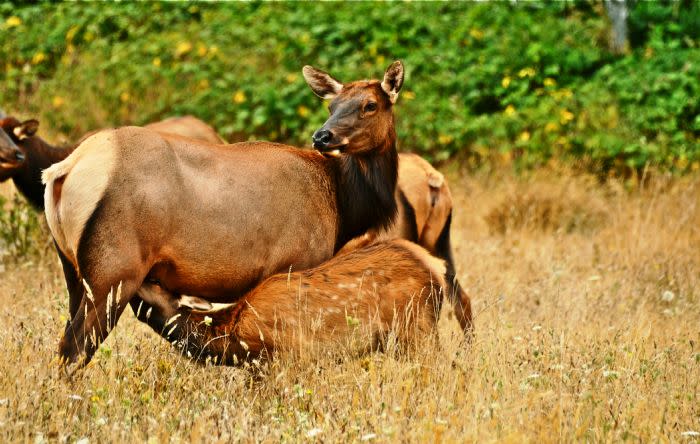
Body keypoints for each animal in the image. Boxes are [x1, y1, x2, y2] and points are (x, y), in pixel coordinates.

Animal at [43, 61, 407, 369]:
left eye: (370, 105)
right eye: (332, 106)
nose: (323, 136)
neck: (342, 205)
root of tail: (64, 169)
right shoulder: (298, 261)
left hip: (73, 270)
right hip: (115, 267)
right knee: (75, 349)